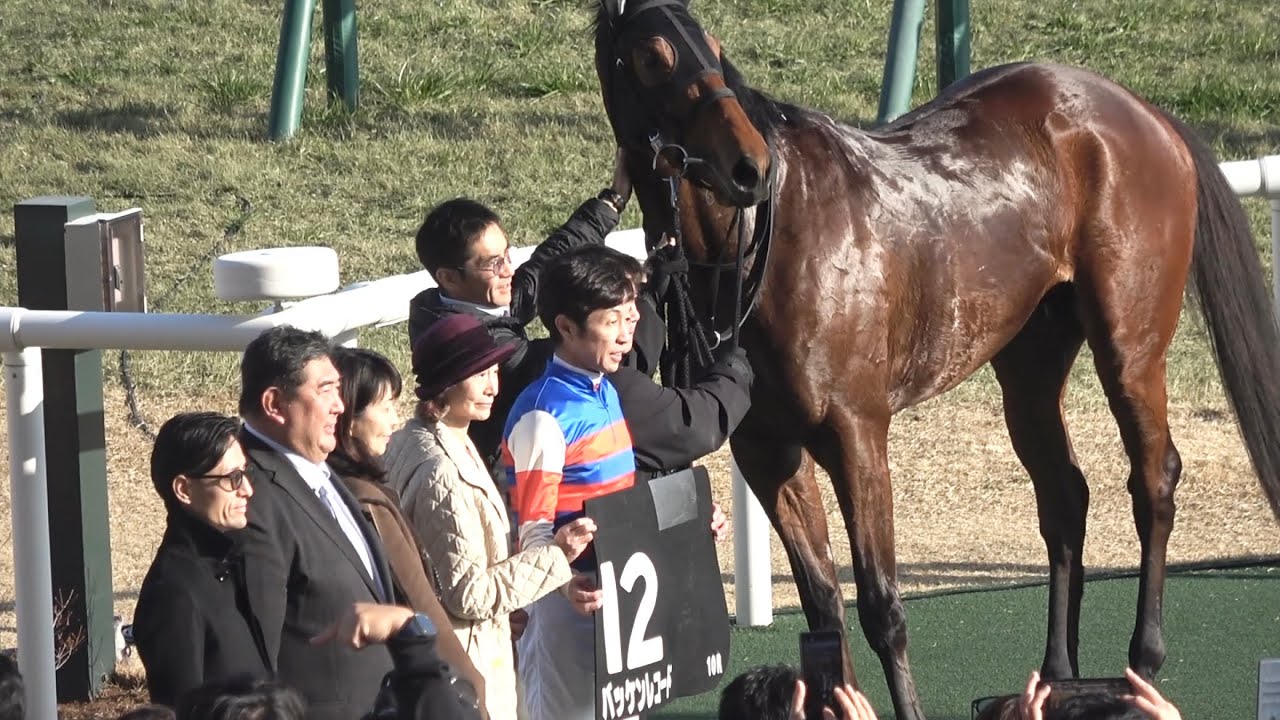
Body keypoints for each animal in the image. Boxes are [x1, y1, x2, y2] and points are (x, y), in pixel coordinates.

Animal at [592, 1, 1280, 717]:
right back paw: (1053, 677)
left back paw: (1142, 664)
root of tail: (1142, 109)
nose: (747, 165)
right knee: (1064, 494)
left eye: (712, 44)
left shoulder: (856, 432)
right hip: (1029, 366)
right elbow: (823, 609)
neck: (769, 243)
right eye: (652, 58)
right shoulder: (768, 452)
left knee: (1154, 479)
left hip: (1130, 347)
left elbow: (881, 607)